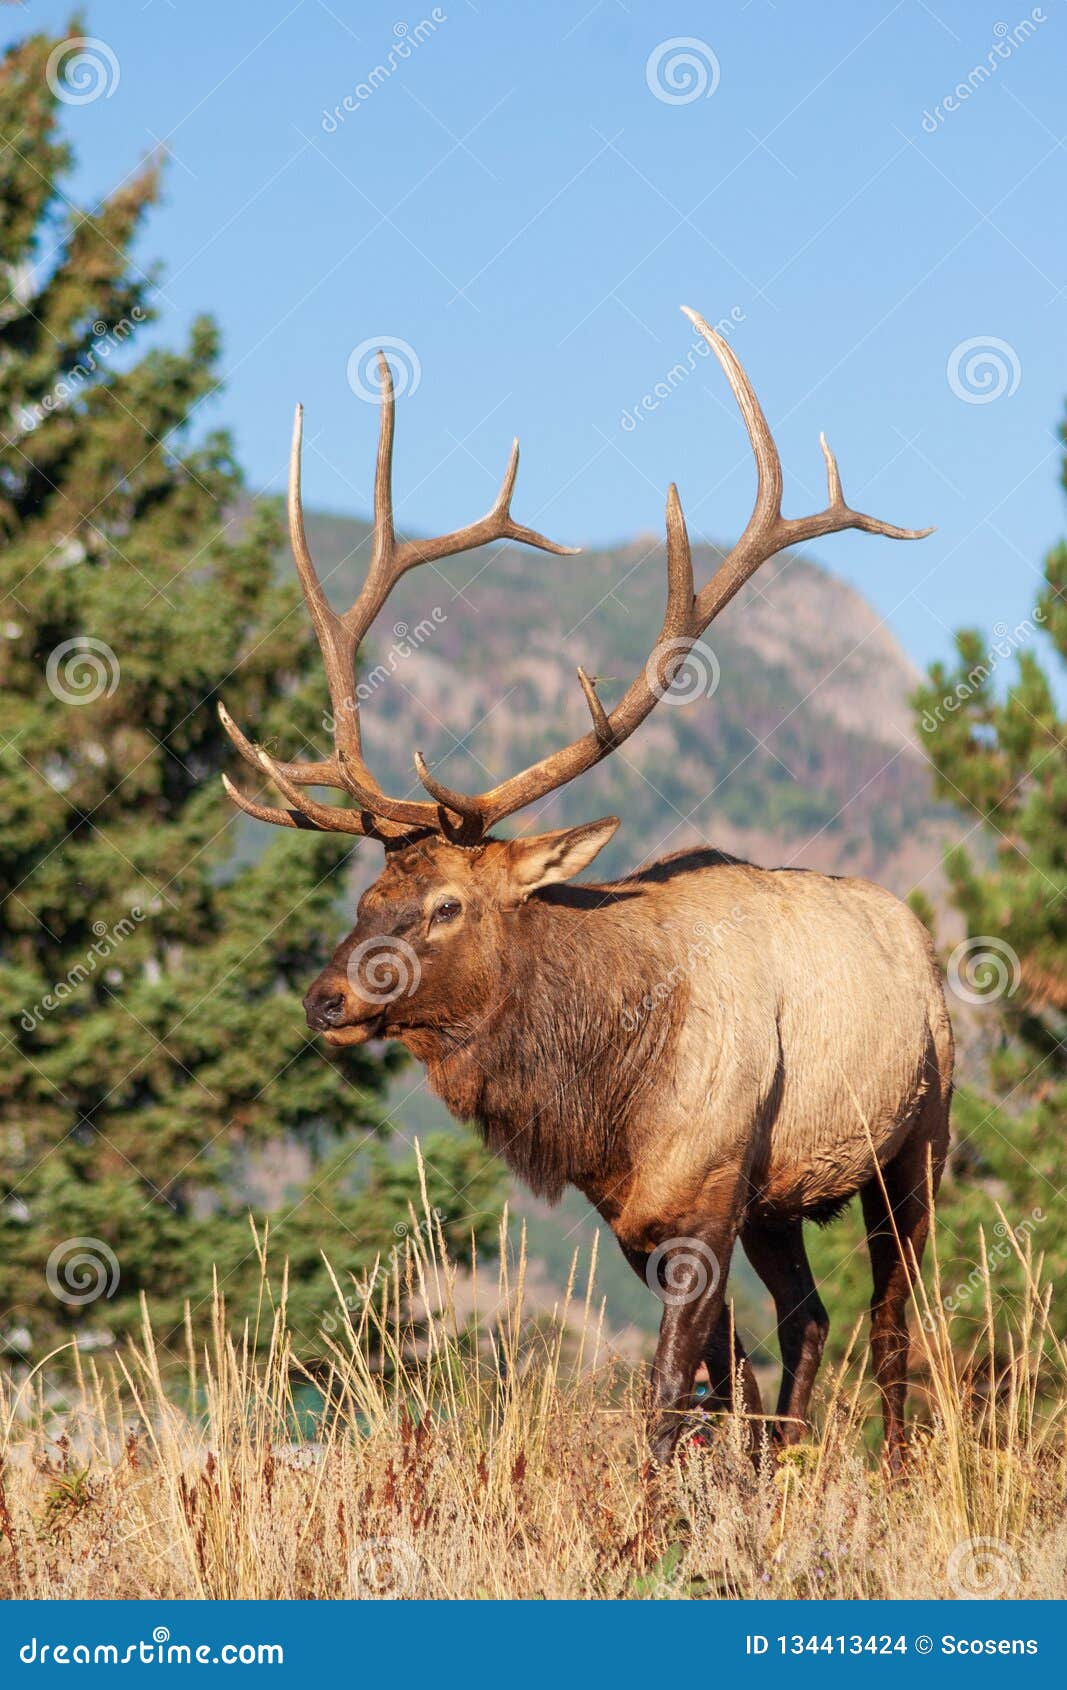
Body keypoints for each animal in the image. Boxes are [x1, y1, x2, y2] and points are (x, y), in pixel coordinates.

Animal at [217, 308, 954, 1470]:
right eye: (364, 898)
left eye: (446, 906)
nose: (324, 1000)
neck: (604, 1093)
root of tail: (919, 941)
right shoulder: (644, 1217)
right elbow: (720, 1384)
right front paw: (739, 1477)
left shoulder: (705, 1195)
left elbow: (664, 1397)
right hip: (781, 1199)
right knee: (808, 1317)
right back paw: (788, 1460)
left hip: (914, 1146)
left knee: (890, 1327)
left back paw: (891, 1467)